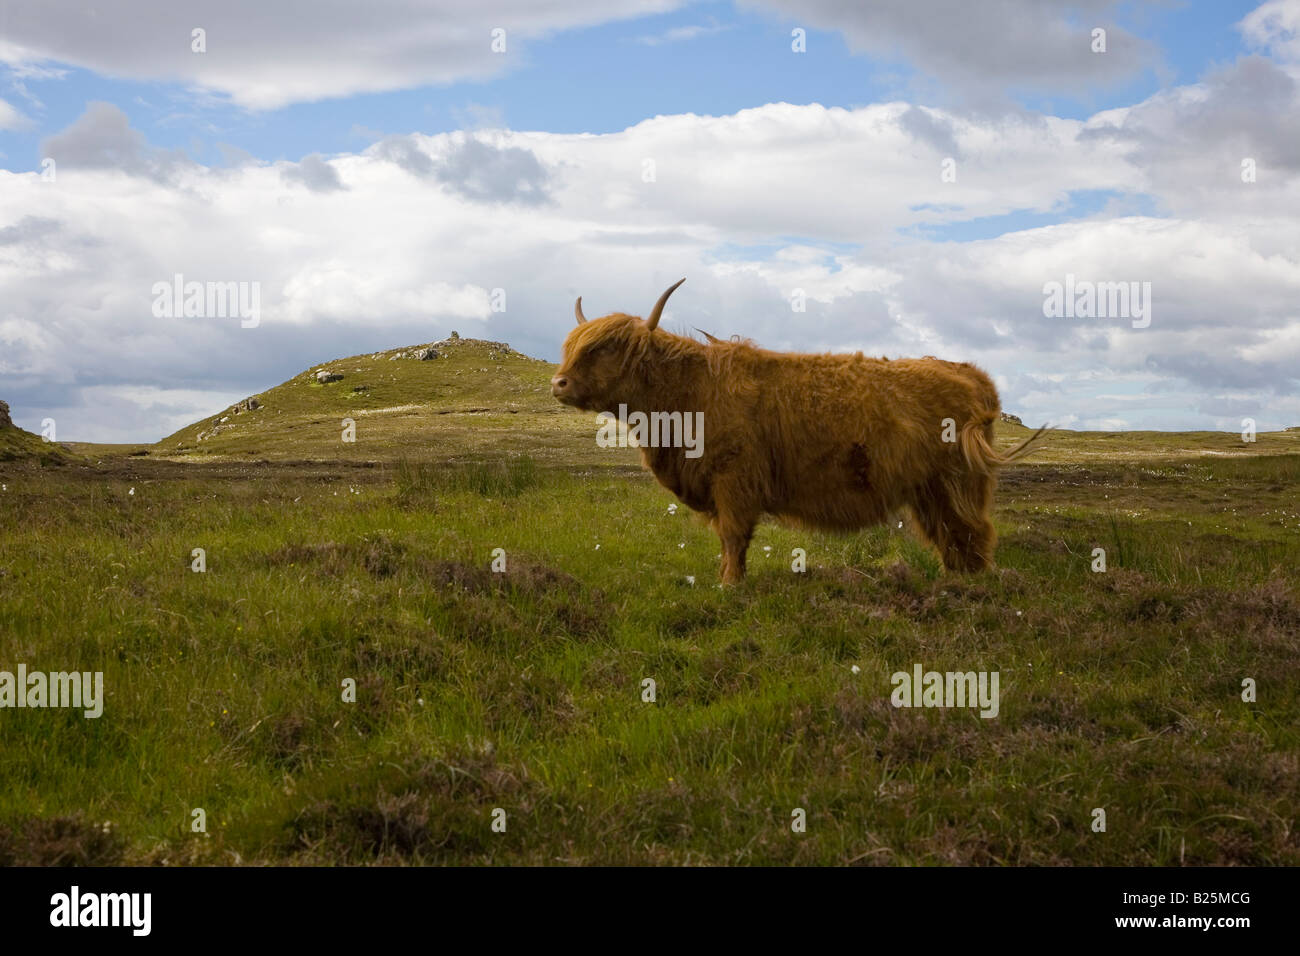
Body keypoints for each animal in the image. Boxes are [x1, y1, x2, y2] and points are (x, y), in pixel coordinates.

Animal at [552, 279, 1046, 584]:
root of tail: (969, 373)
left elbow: (733, 537)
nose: (558, 383)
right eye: (572, 347)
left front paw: (729, 585)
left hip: (957, 483)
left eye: (606, 348)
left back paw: (971, 590)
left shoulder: (733, 480)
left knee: (972, 533)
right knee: (951, 537)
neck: (686, 394)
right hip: (930, 490)